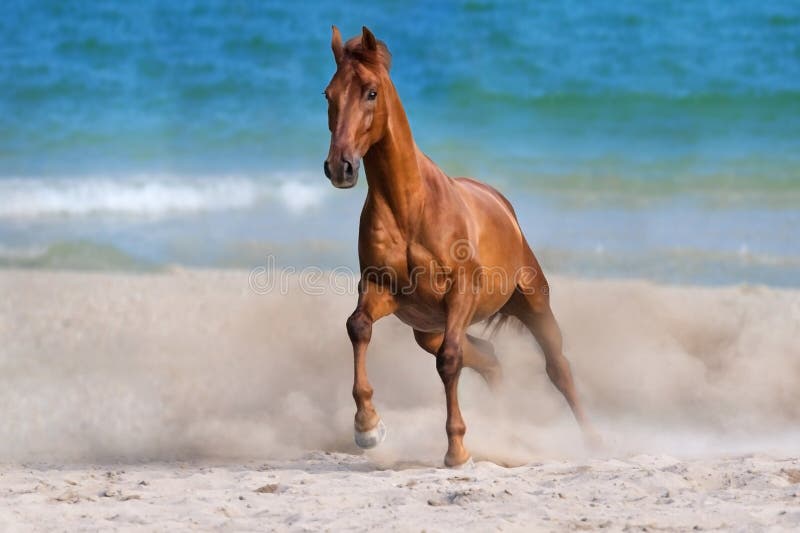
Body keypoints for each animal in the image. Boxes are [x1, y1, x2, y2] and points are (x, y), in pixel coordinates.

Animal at [323, 26, 597, 467]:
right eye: (328, 94)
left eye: (370, 93)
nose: (340, 167)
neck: (410, 208)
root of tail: (501, 203)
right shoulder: (381, 289)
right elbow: (358, 327)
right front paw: (367, 427)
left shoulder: (460, 294)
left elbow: (449, 362)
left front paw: (456, 449)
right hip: (427, 330)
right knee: (489, 359)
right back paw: (506, 431)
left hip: (533, 303)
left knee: (558, 368)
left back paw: (595, 442)